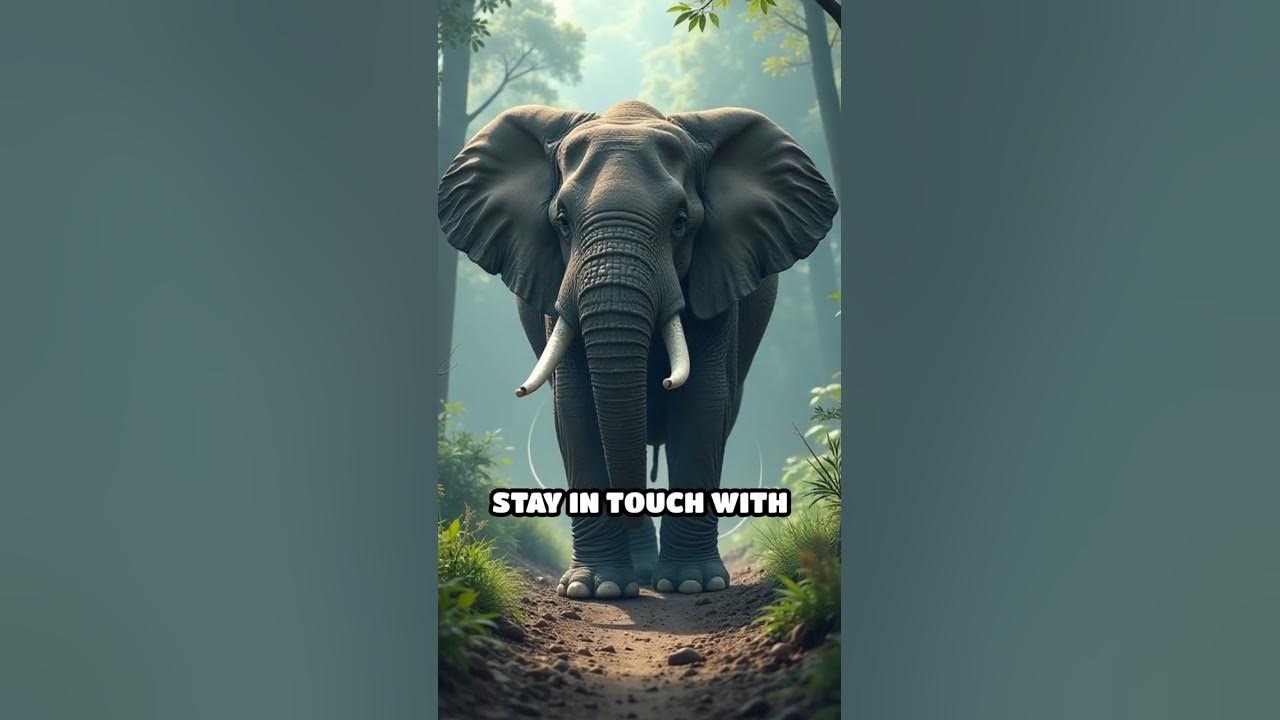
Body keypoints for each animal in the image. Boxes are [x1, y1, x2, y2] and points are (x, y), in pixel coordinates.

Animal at [438, 100, 838, 599]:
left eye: (681, 223)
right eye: (562, 221)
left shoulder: (717, 278)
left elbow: (703, 403)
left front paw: (692, 584)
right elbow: (575, 407)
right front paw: (595, 589)